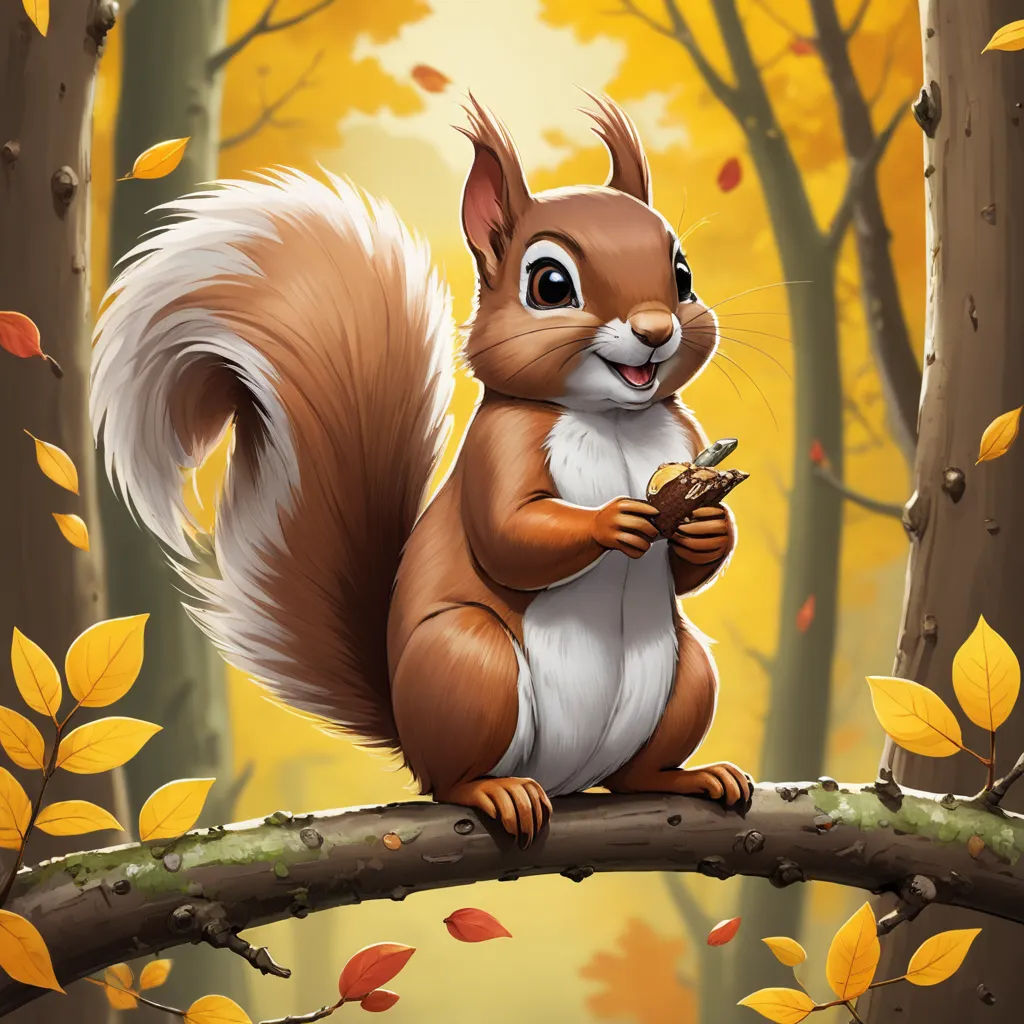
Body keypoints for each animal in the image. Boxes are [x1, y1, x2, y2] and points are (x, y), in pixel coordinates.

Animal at [90, 93, 751, 844]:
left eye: (682, 274)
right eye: (550, 284)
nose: (654, 329)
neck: (613, 416)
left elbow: (688, 570)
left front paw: (707, 526)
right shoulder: (498, 451)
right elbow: (508, 536)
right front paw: (613, 520)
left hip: (686, 674)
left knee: (635, 772)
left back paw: (691, 776)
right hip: (467, 663)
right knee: (451, 779)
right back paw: (495, 792)